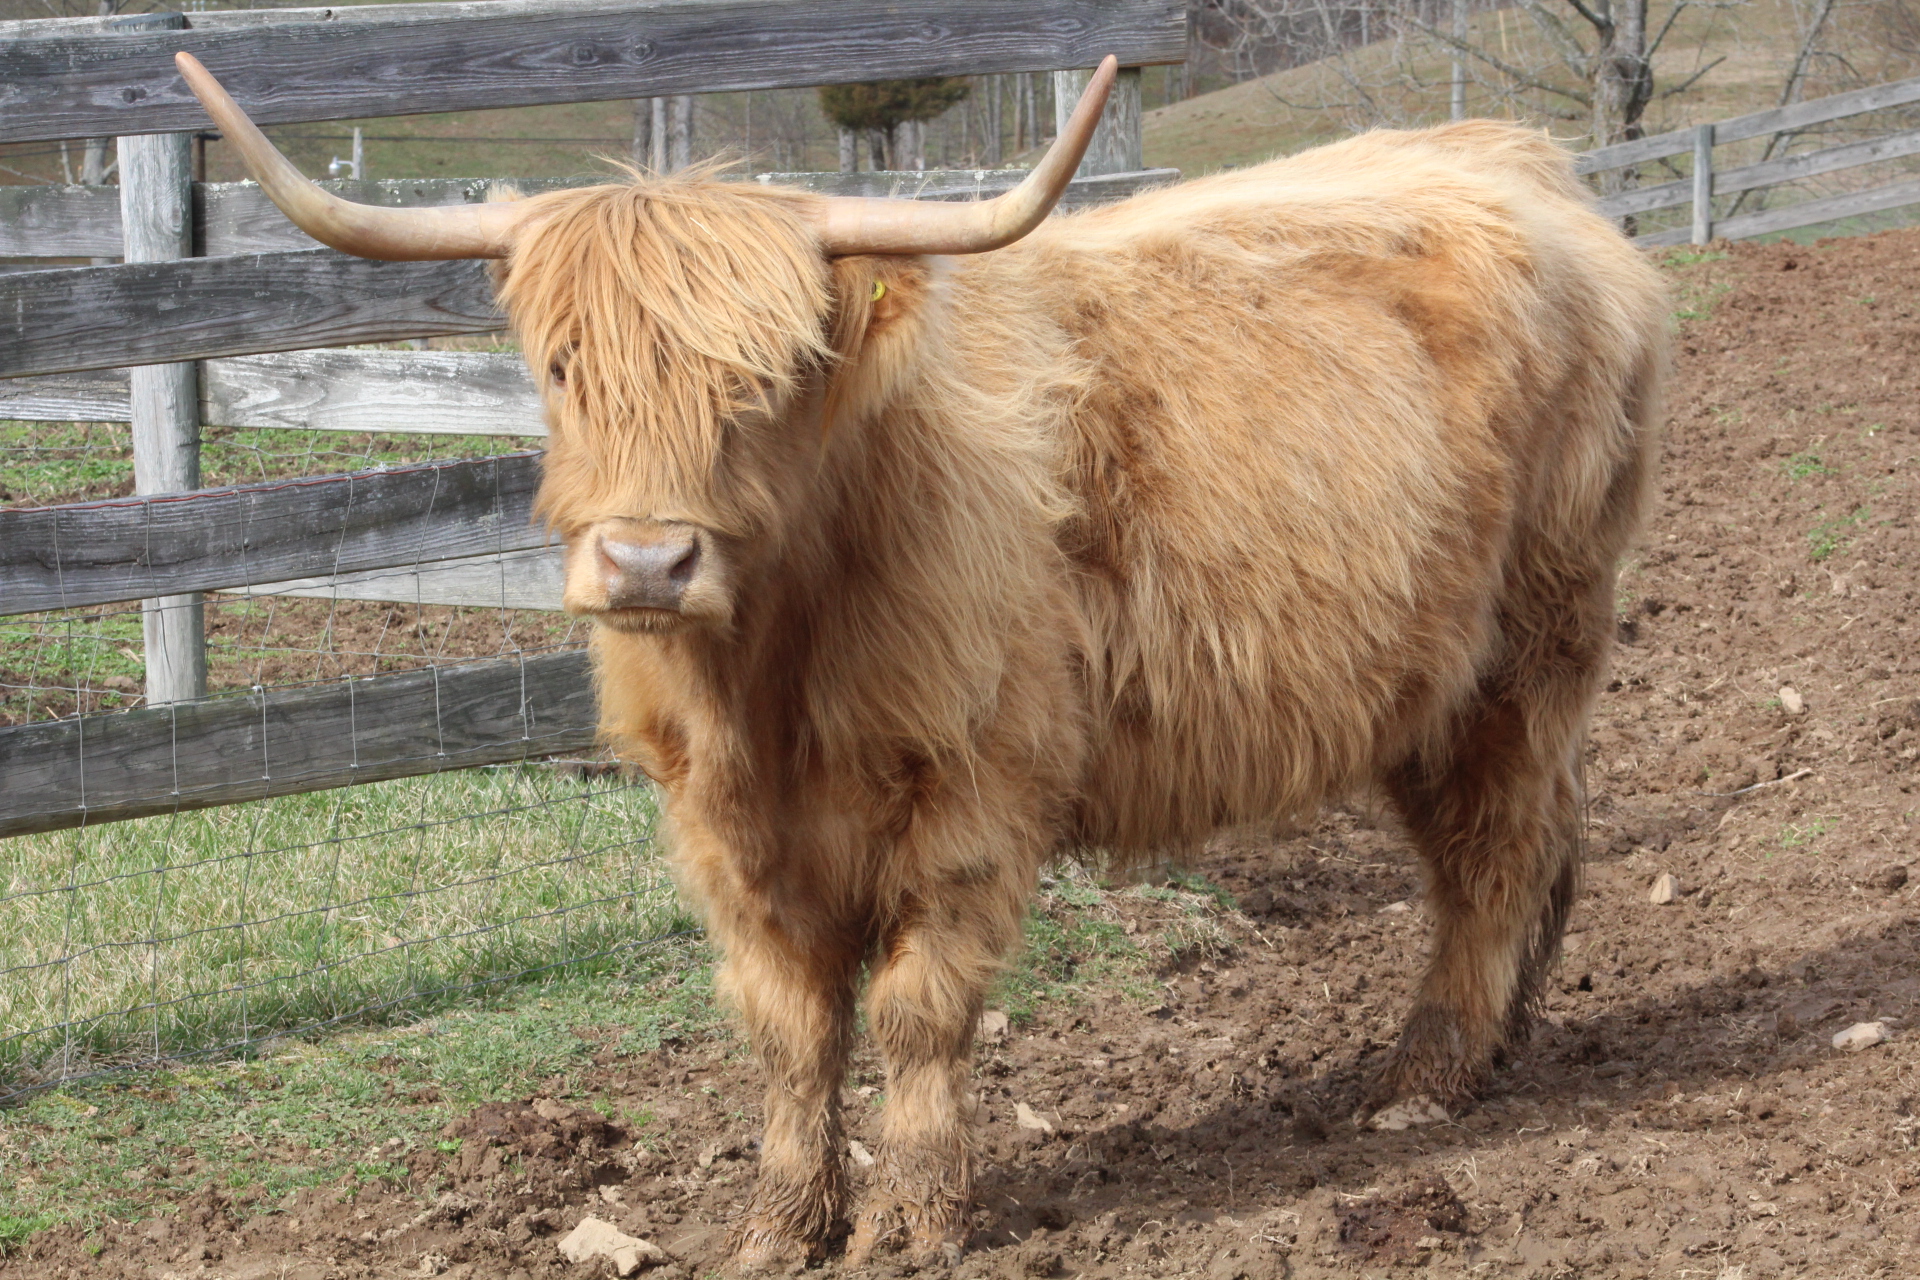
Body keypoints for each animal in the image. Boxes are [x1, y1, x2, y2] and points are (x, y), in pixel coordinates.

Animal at [180, 54, 1666, 1269]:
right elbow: (788, 1027)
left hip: (1531, 644)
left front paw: (914, 1218)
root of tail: (1516, 161)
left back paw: (1424, 1080)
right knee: (1526, 836)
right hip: (1430, 684)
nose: (648, 564)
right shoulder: (718, 828)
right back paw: (1500, 1039)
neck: (771, 685)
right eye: (561, 368)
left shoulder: (974, 794)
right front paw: (781, 1226)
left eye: (767, 377)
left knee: (1497, 847)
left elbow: (914, 1011)